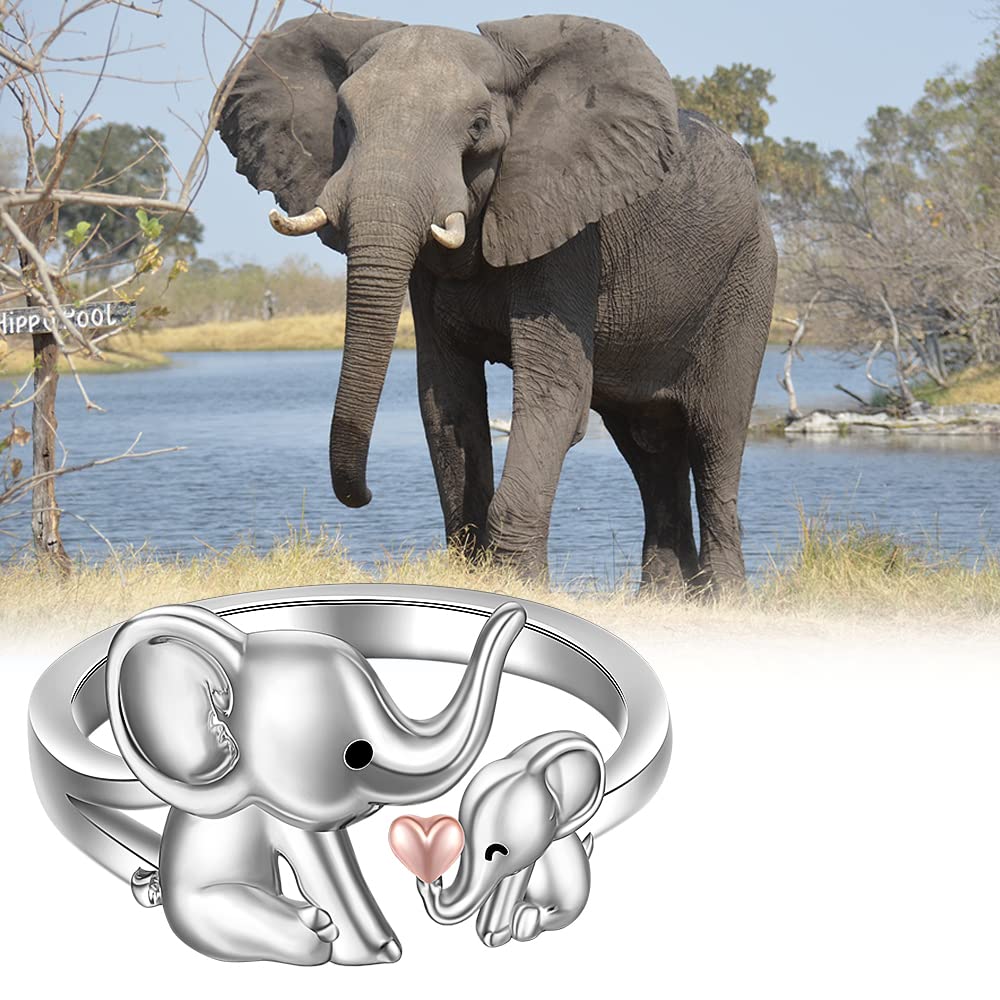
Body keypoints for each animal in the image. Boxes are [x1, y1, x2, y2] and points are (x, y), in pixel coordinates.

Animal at [104, 600, 526, 966]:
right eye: (358, 753)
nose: (515, 615)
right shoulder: (283, 814)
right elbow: (322, 864)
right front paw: (380, 954)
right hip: (206, 910)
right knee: (288, 937)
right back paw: (312, 925)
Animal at [217, 12, 777, 591]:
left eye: (478, 126)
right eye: (344, 122)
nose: (366, 495)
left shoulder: (568, 229)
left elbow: (554, 394)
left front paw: (520, 584)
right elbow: (446, 397)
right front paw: (473, 574)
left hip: (749, 276)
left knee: (716, 434)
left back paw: (724, 596)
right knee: (648, 444)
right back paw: (666, 596)